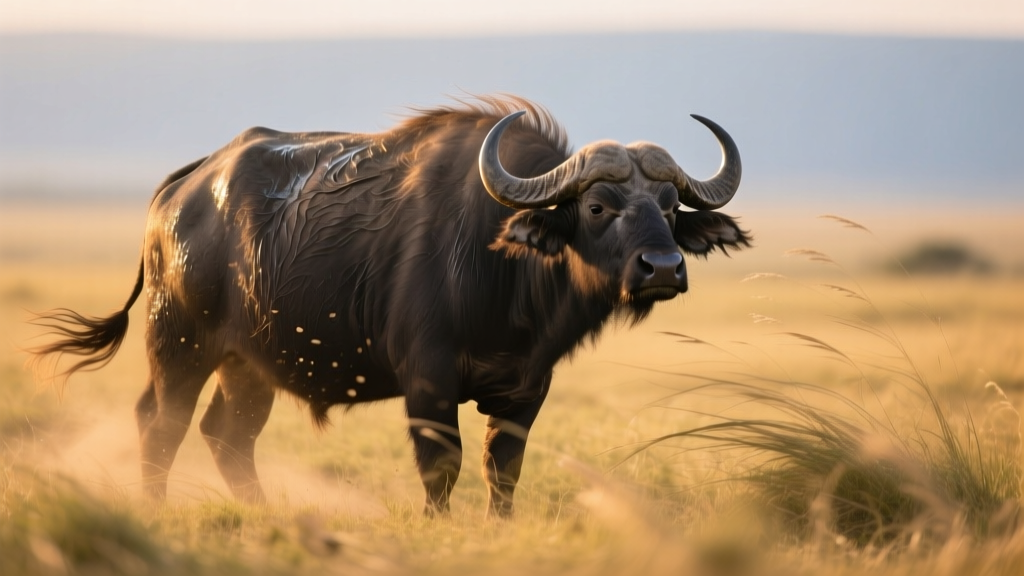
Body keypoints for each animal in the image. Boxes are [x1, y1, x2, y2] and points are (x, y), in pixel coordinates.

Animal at [33, 96, 750, 516]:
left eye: (670, 207)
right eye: (597, 206)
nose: (664, 268)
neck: (501, 267)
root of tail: (183, 190)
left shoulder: (527, 387)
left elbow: (503, 468)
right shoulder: (427, 381)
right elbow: (442, 467)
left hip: (248, 364)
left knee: (226, 436)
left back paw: (262, 513)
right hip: (179, 343)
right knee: (163, 426)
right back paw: (153, 510)